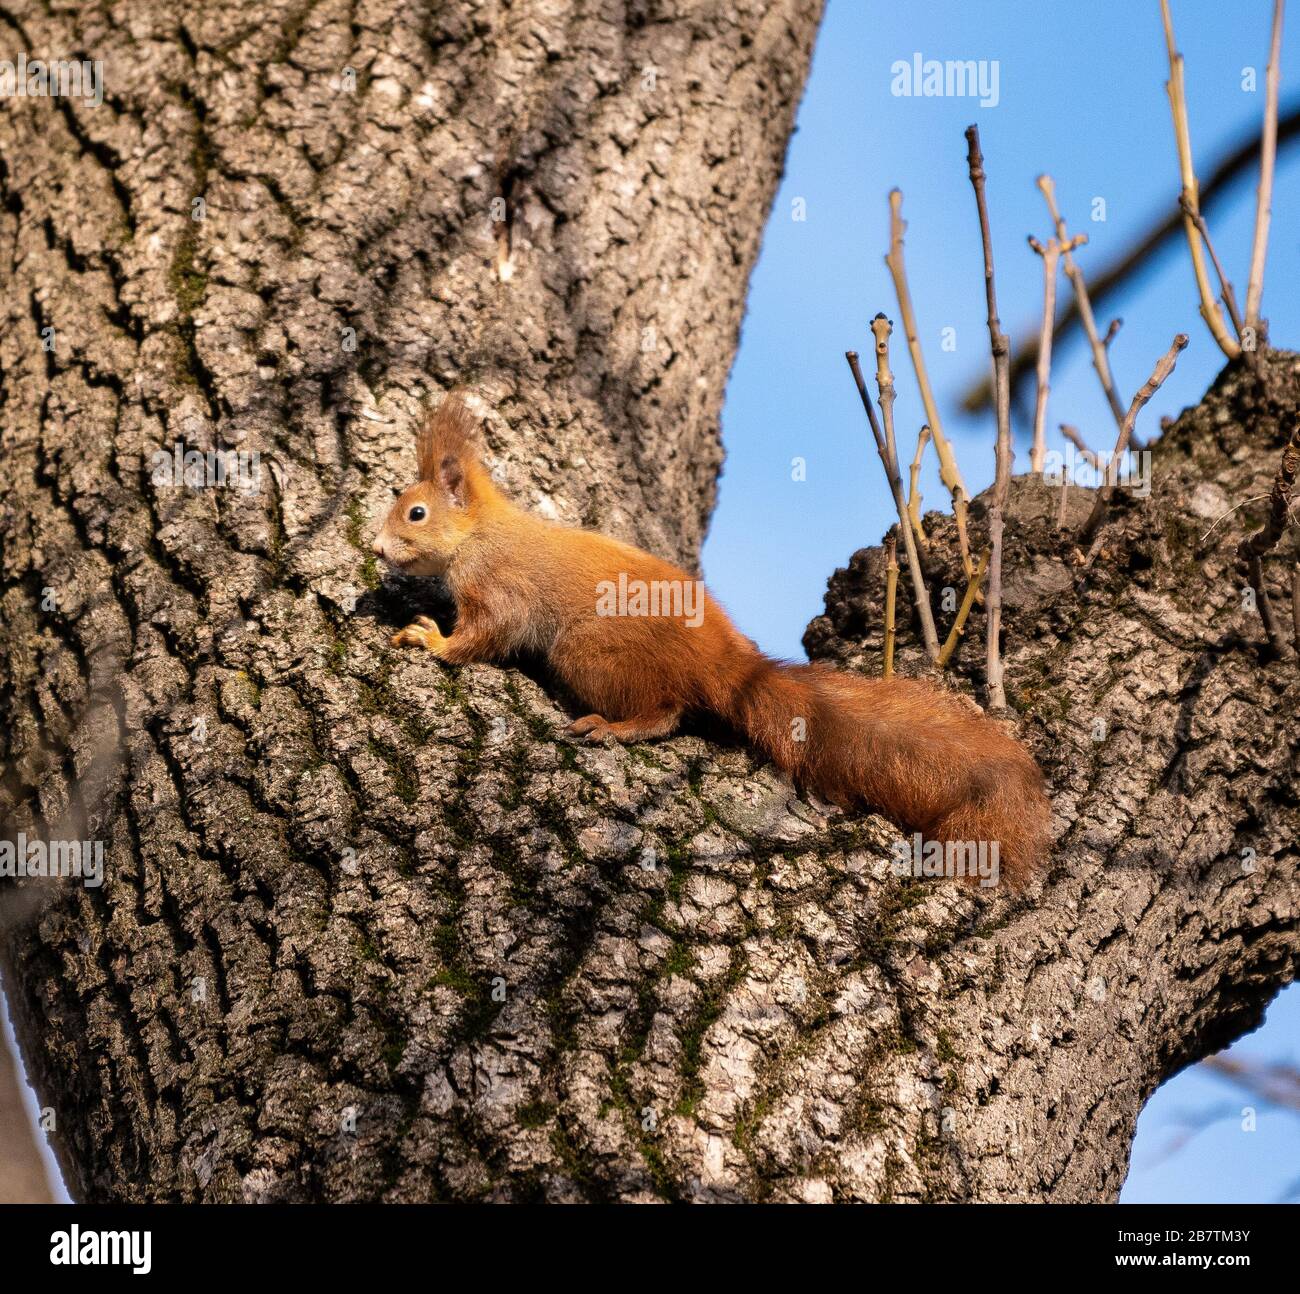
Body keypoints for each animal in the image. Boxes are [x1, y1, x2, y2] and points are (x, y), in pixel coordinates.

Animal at [373, 394, 1051, 886]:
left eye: (415, 514)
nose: (377, 550)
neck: (480, 532)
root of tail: (725, 666)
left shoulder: (499, 588)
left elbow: (485, 637)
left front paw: (433, 640)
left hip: (589, 654)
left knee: (666, 710)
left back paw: (614, 727)